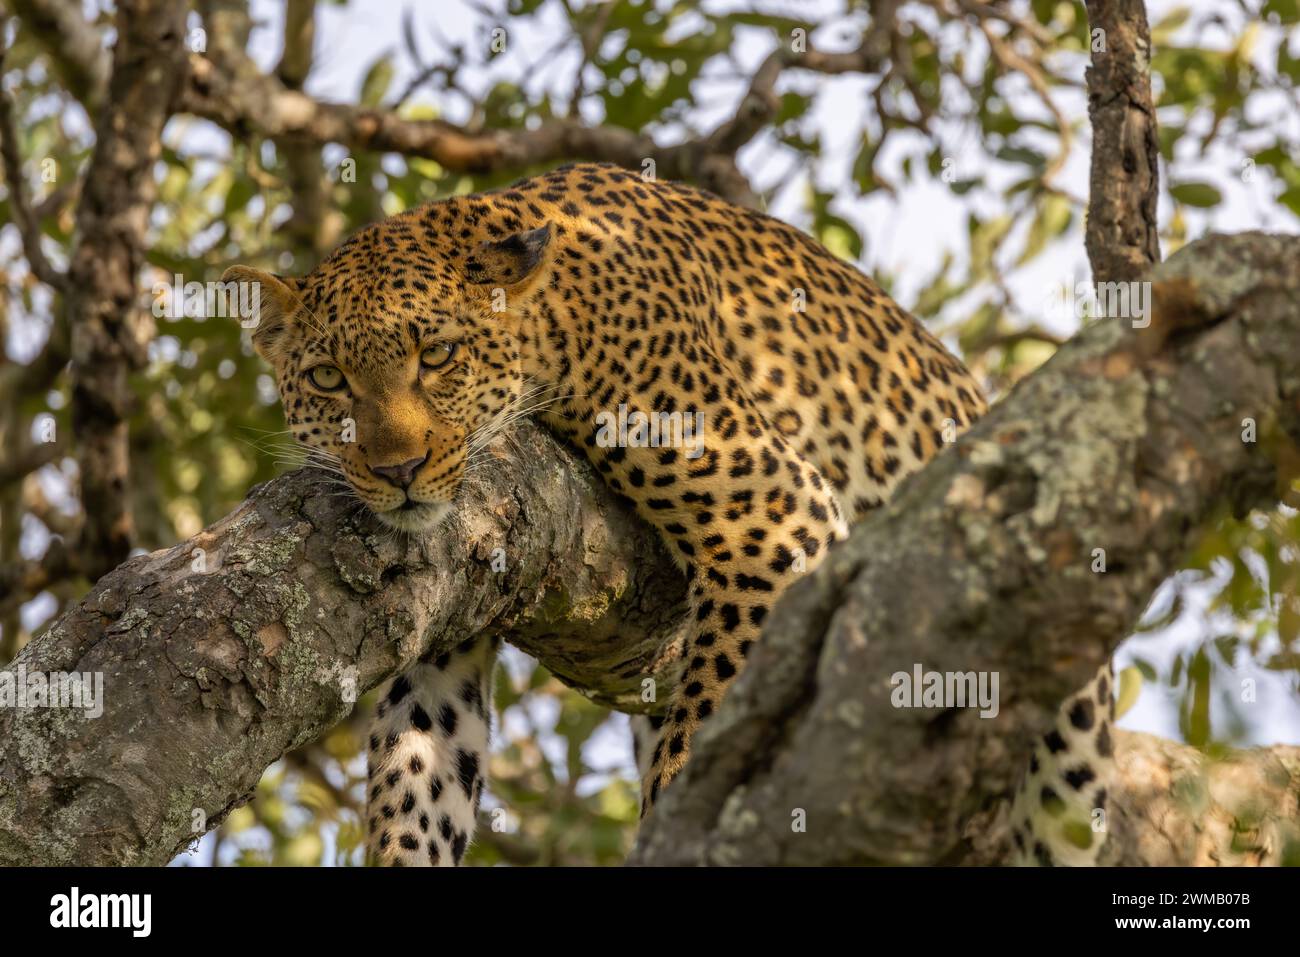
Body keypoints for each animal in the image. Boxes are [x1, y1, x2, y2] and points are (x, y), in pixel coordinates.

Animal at [224, 161, 1114, 867]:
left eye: (437, 356)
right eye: (330, 378)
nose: (397, 470)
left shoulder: (773, 512)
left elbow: (706, 742)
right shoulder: (458, 609)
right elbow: (416, 784)